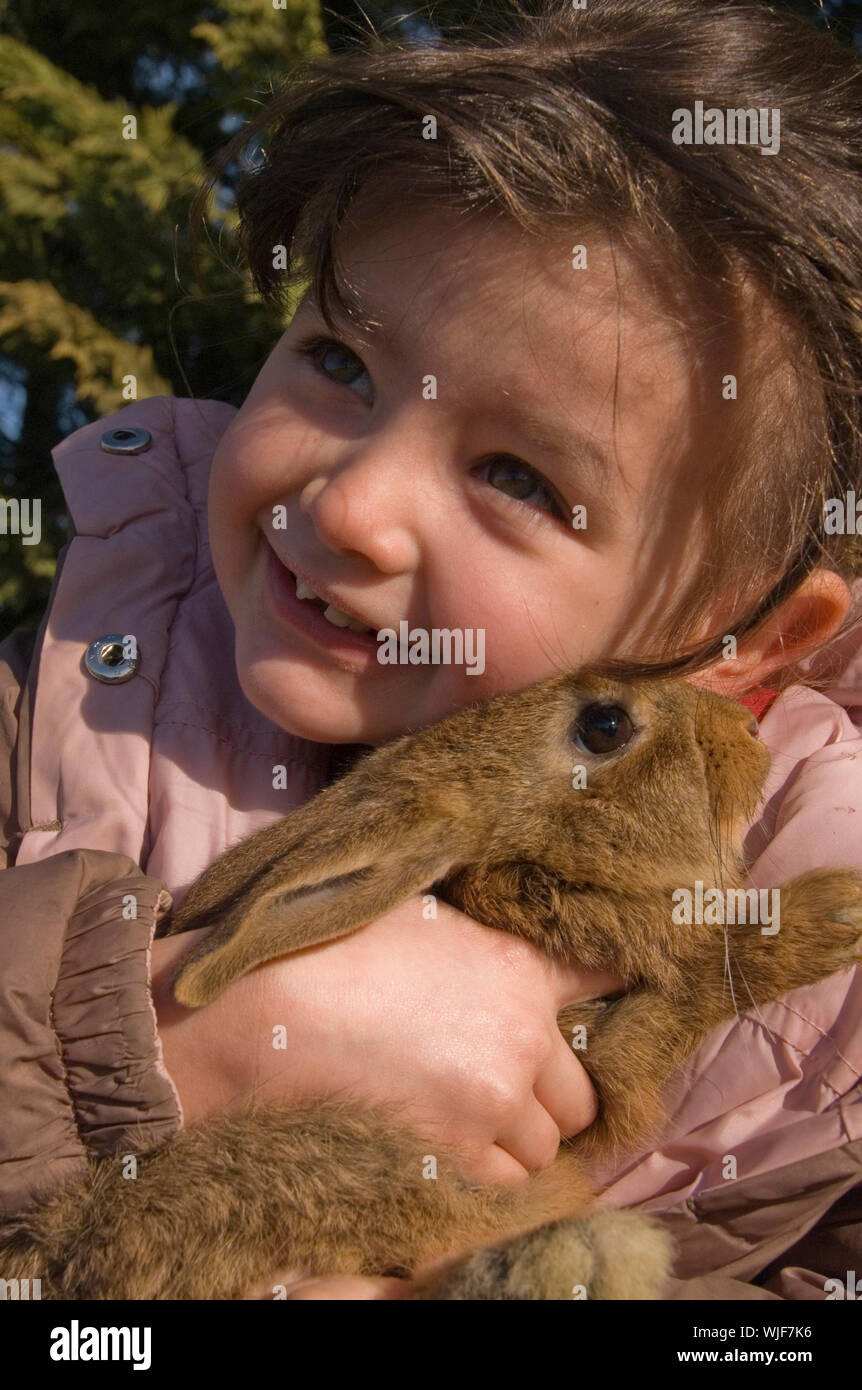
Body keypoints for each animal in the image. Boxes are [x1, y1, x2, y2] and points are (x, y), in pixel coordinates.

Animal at [3, 669, 862, 1301]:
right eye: (606, 726)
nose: (747, 725)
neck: (523, 866)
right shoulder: (609, 1051)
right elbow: (708, 979)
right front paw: (835, 910)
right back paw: (583, 1259)